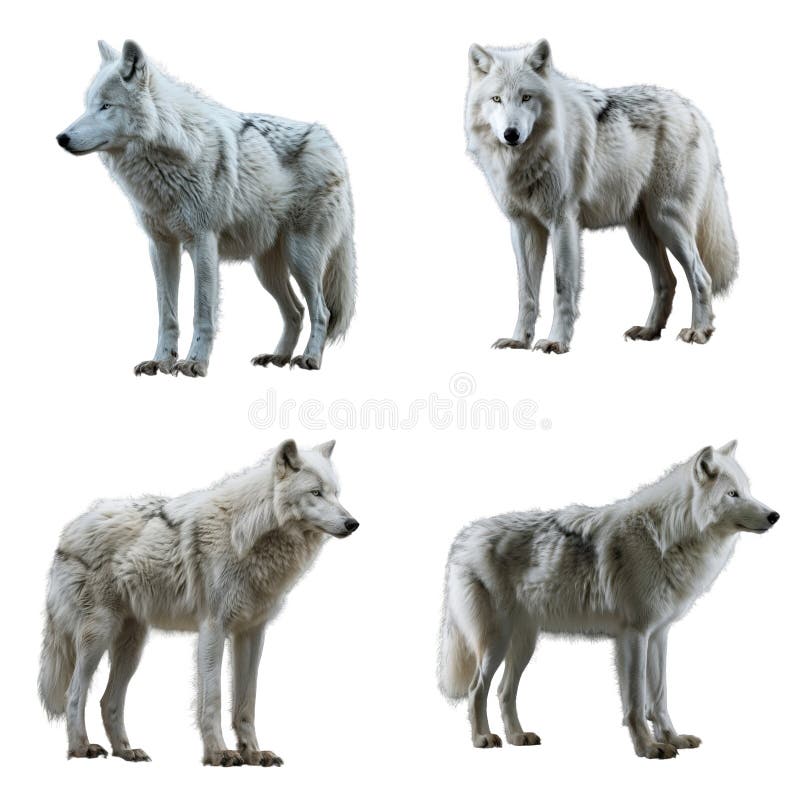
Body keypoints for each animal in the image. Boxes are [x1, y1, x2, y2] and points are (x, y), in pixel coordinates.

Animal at [39, 440, 359, 765]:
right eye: (315, 492)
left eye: (335, 493)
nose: (353, 523)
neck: (246, 534)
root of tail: (69, 530)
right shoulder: (213, 628)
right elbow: (213, 698)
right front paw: (219, 752)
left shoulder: (252, 632)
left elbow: (246, 703)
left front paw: (254, 754)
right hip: (98, 636)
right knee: (74, 693)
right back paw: (81, 748)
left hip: (131, 646)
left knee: (108, 700)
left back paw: (126, 750)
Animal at [57, 40, 356, 376]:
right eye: (88, 105)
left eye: (106, 106)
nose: (61, 138)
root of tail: (331, 144)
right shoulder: (161, 245)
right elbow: (167, 313)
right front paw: (161, 361)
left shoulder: (202, 241)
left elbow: (201, 311)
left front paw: (194, 362)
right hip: (267, 268)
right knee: (296, 310)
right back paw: (278, 357)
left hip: (301, 257)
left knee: (322, 310)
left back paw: (310, 359)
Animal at [438, 442, 778, 758]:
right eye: (732, 494)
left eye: (747, 490)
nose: (774, 515)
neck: (667, 537)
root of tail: (464, 538)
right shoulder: (634, 635)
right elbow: (636, 702)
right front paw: (649, 748)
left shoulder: (658, 635)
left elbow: (659, 697)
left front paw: (673, 739)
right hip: (496, 642)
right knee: (477, 689)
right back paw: (483, 738)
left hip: (523, 645)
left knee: (503, 691)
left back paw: (518, 737)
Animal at [466, 40, 738, 353]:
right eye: (496, 99)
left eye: (526, 97)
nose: (511, 134)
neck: (528, 157)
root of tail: (693, 111)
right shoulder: (524, 228)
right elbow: (526, 292)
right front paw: (520, 340)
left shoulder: (563, 223)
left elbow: (561, 287)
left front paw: (556, 341)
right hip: (643, 234)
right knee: (666, 281)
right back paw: (649, 330)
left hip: (668, 222)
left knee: (700, 276)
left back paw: (699, 331)